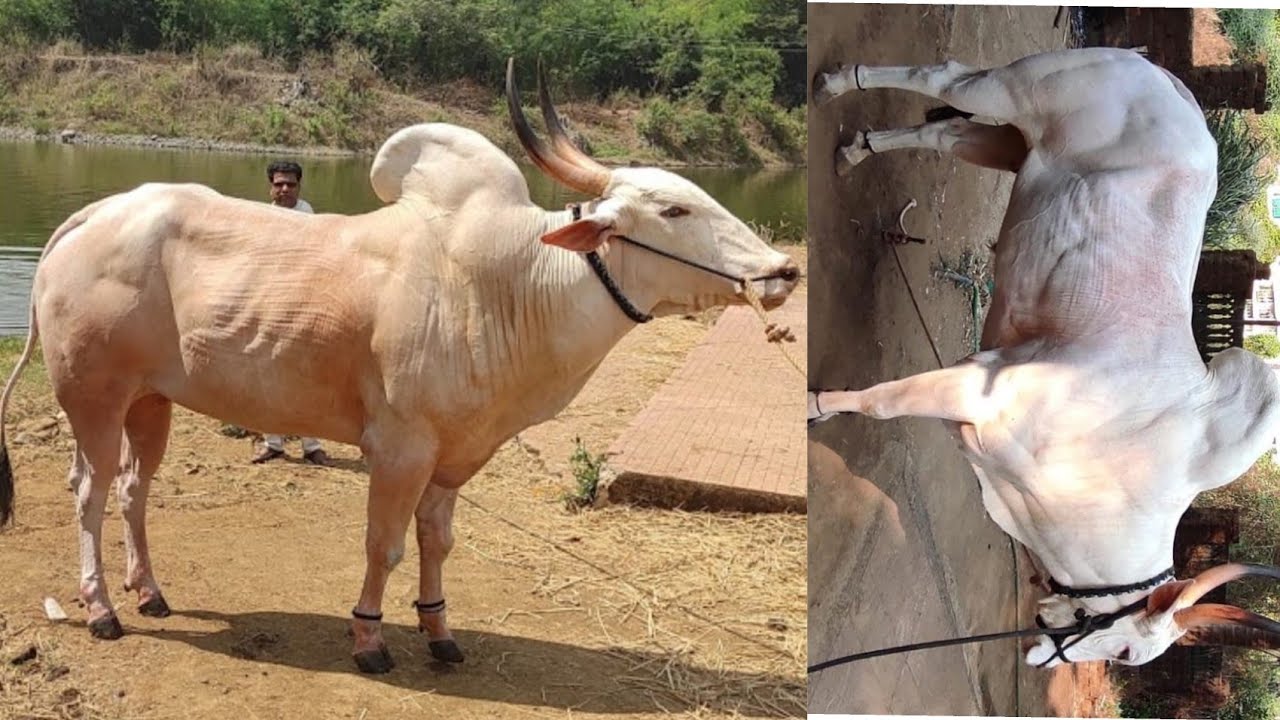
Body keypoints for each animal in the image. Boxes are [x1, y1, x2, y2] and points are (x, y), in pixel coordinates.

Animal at [0, 59, 800, 674]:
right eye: (672, 210)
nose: (782, 269)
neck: (507, 283)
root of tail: (94, 216)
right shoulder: (400, 448)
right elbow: (382, 545)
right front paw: (369, 638)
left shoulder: (456, 456)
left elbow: (436, 541)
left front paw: (438, 630)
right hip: (93, 399)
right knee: (89, 493)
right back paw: (102, 607)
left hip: (152, 402)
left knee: (134, 490)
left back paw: (149, 591)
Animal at [808, 47, 1280, 667]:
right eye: (1126, 654)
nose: (1045, 656)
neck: (1111, 469)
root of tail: (1162, 76)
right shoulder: (981, 387)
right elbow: (879, 404)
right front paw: (813, 407)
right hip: (1011, 89)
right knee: (943, 79)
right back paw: (837, 85)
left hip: (1017, 147)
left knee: (946, 132)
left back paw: (856, 150)